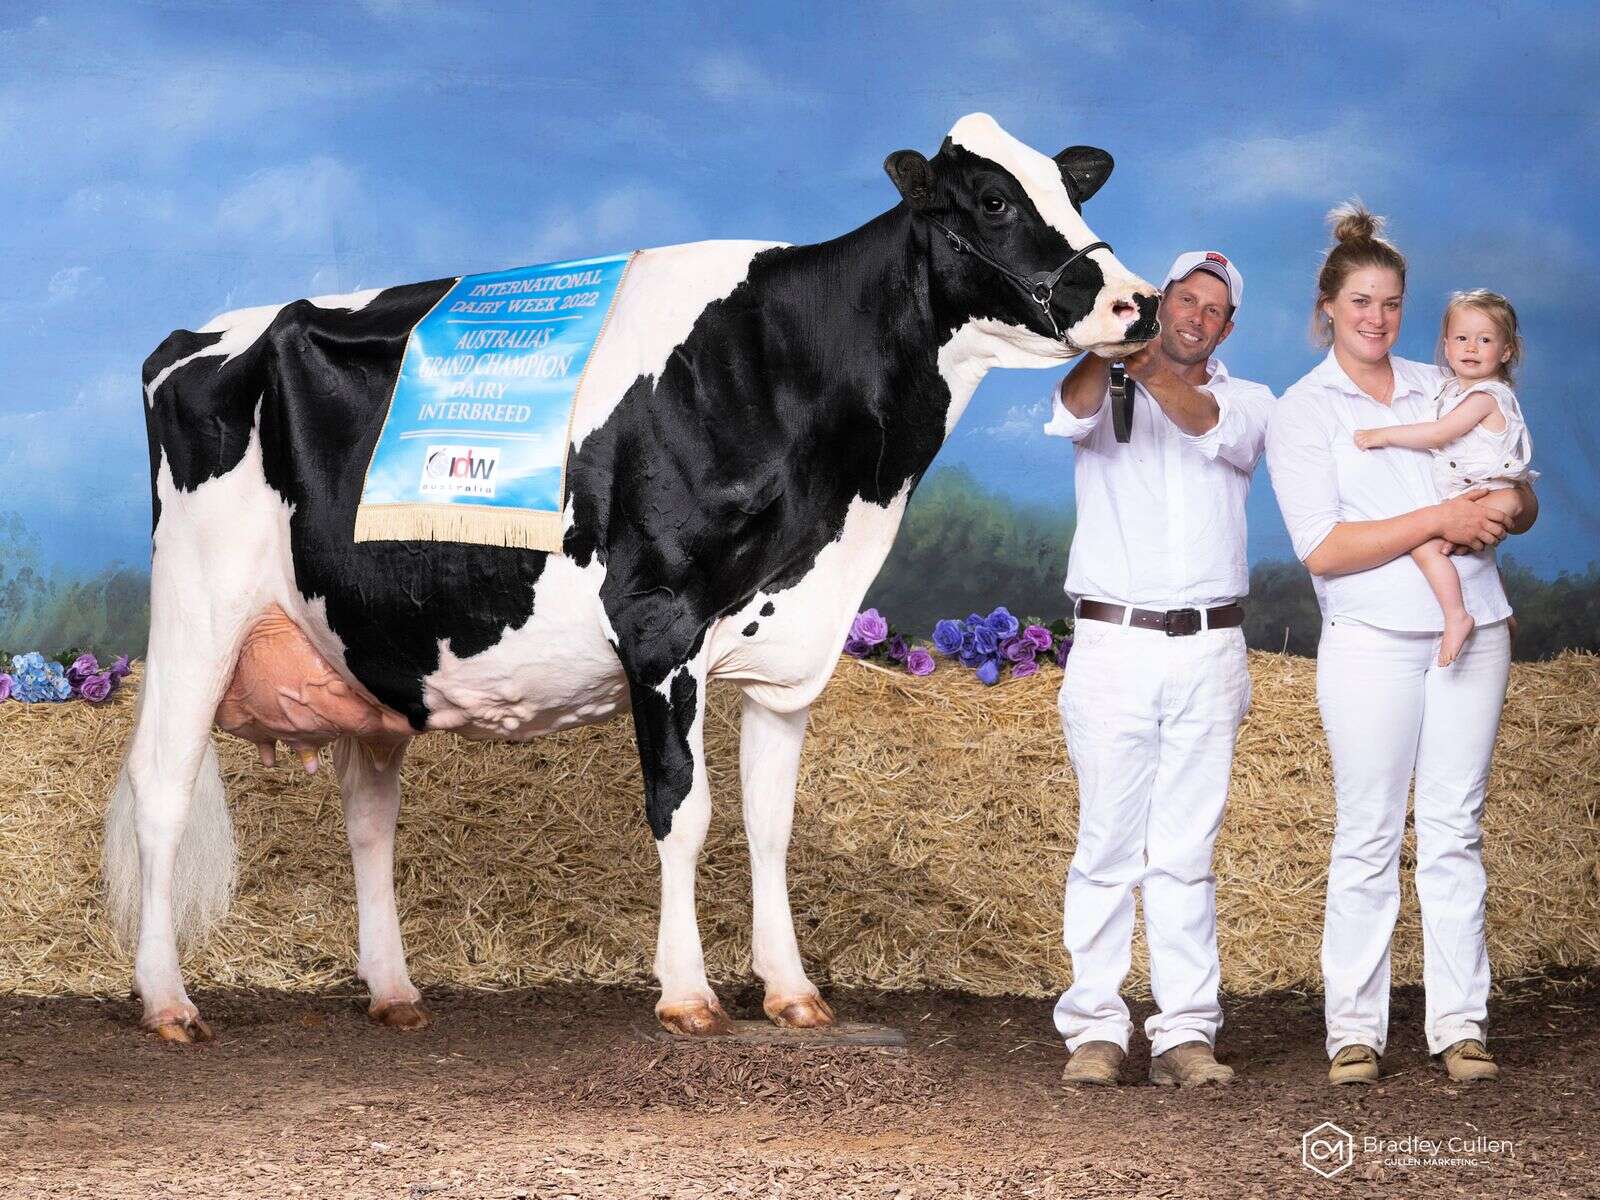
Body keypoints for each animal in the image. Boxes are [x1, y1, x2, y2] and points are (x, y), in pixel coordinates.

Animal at [104, 113, 1159, 1043]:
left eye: (1074, 190)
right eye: (992, 199)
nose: (1136, 301)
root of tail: (192, 339)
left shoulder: (789, 652)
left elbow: (768, 826)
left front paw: (792, 991)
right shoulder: (659, 623)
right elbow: (683, 813)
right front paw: (688, 994)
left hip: (364, 649)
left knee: (367, 818)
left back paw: (395, 993)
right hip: (199, 610)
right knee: (161, 789)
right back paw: (168, 1002)